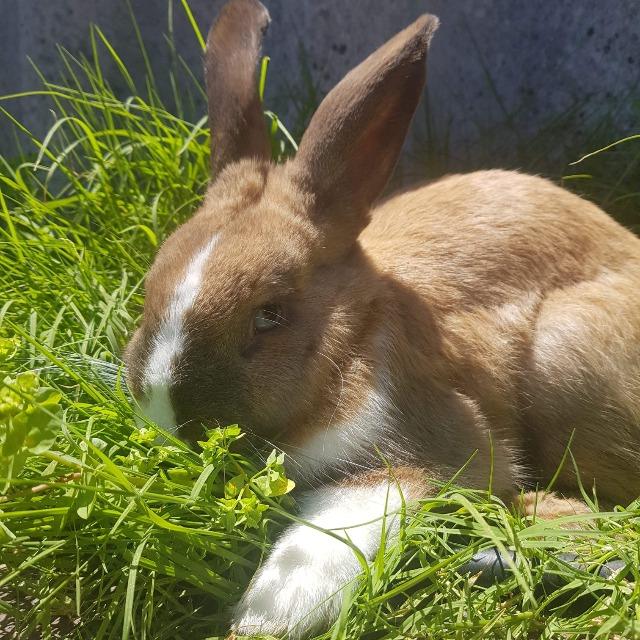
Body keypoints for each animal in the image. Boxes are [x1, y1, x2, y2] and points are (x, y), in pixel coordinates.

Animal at [124, 0, 640, 637]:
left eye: (270, 314)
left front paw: (265, 617)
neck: (350, 347)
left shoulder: (429, 444)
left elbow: (339, 527)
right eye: (149, 290)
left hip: (564, 358)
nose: (168, 415)